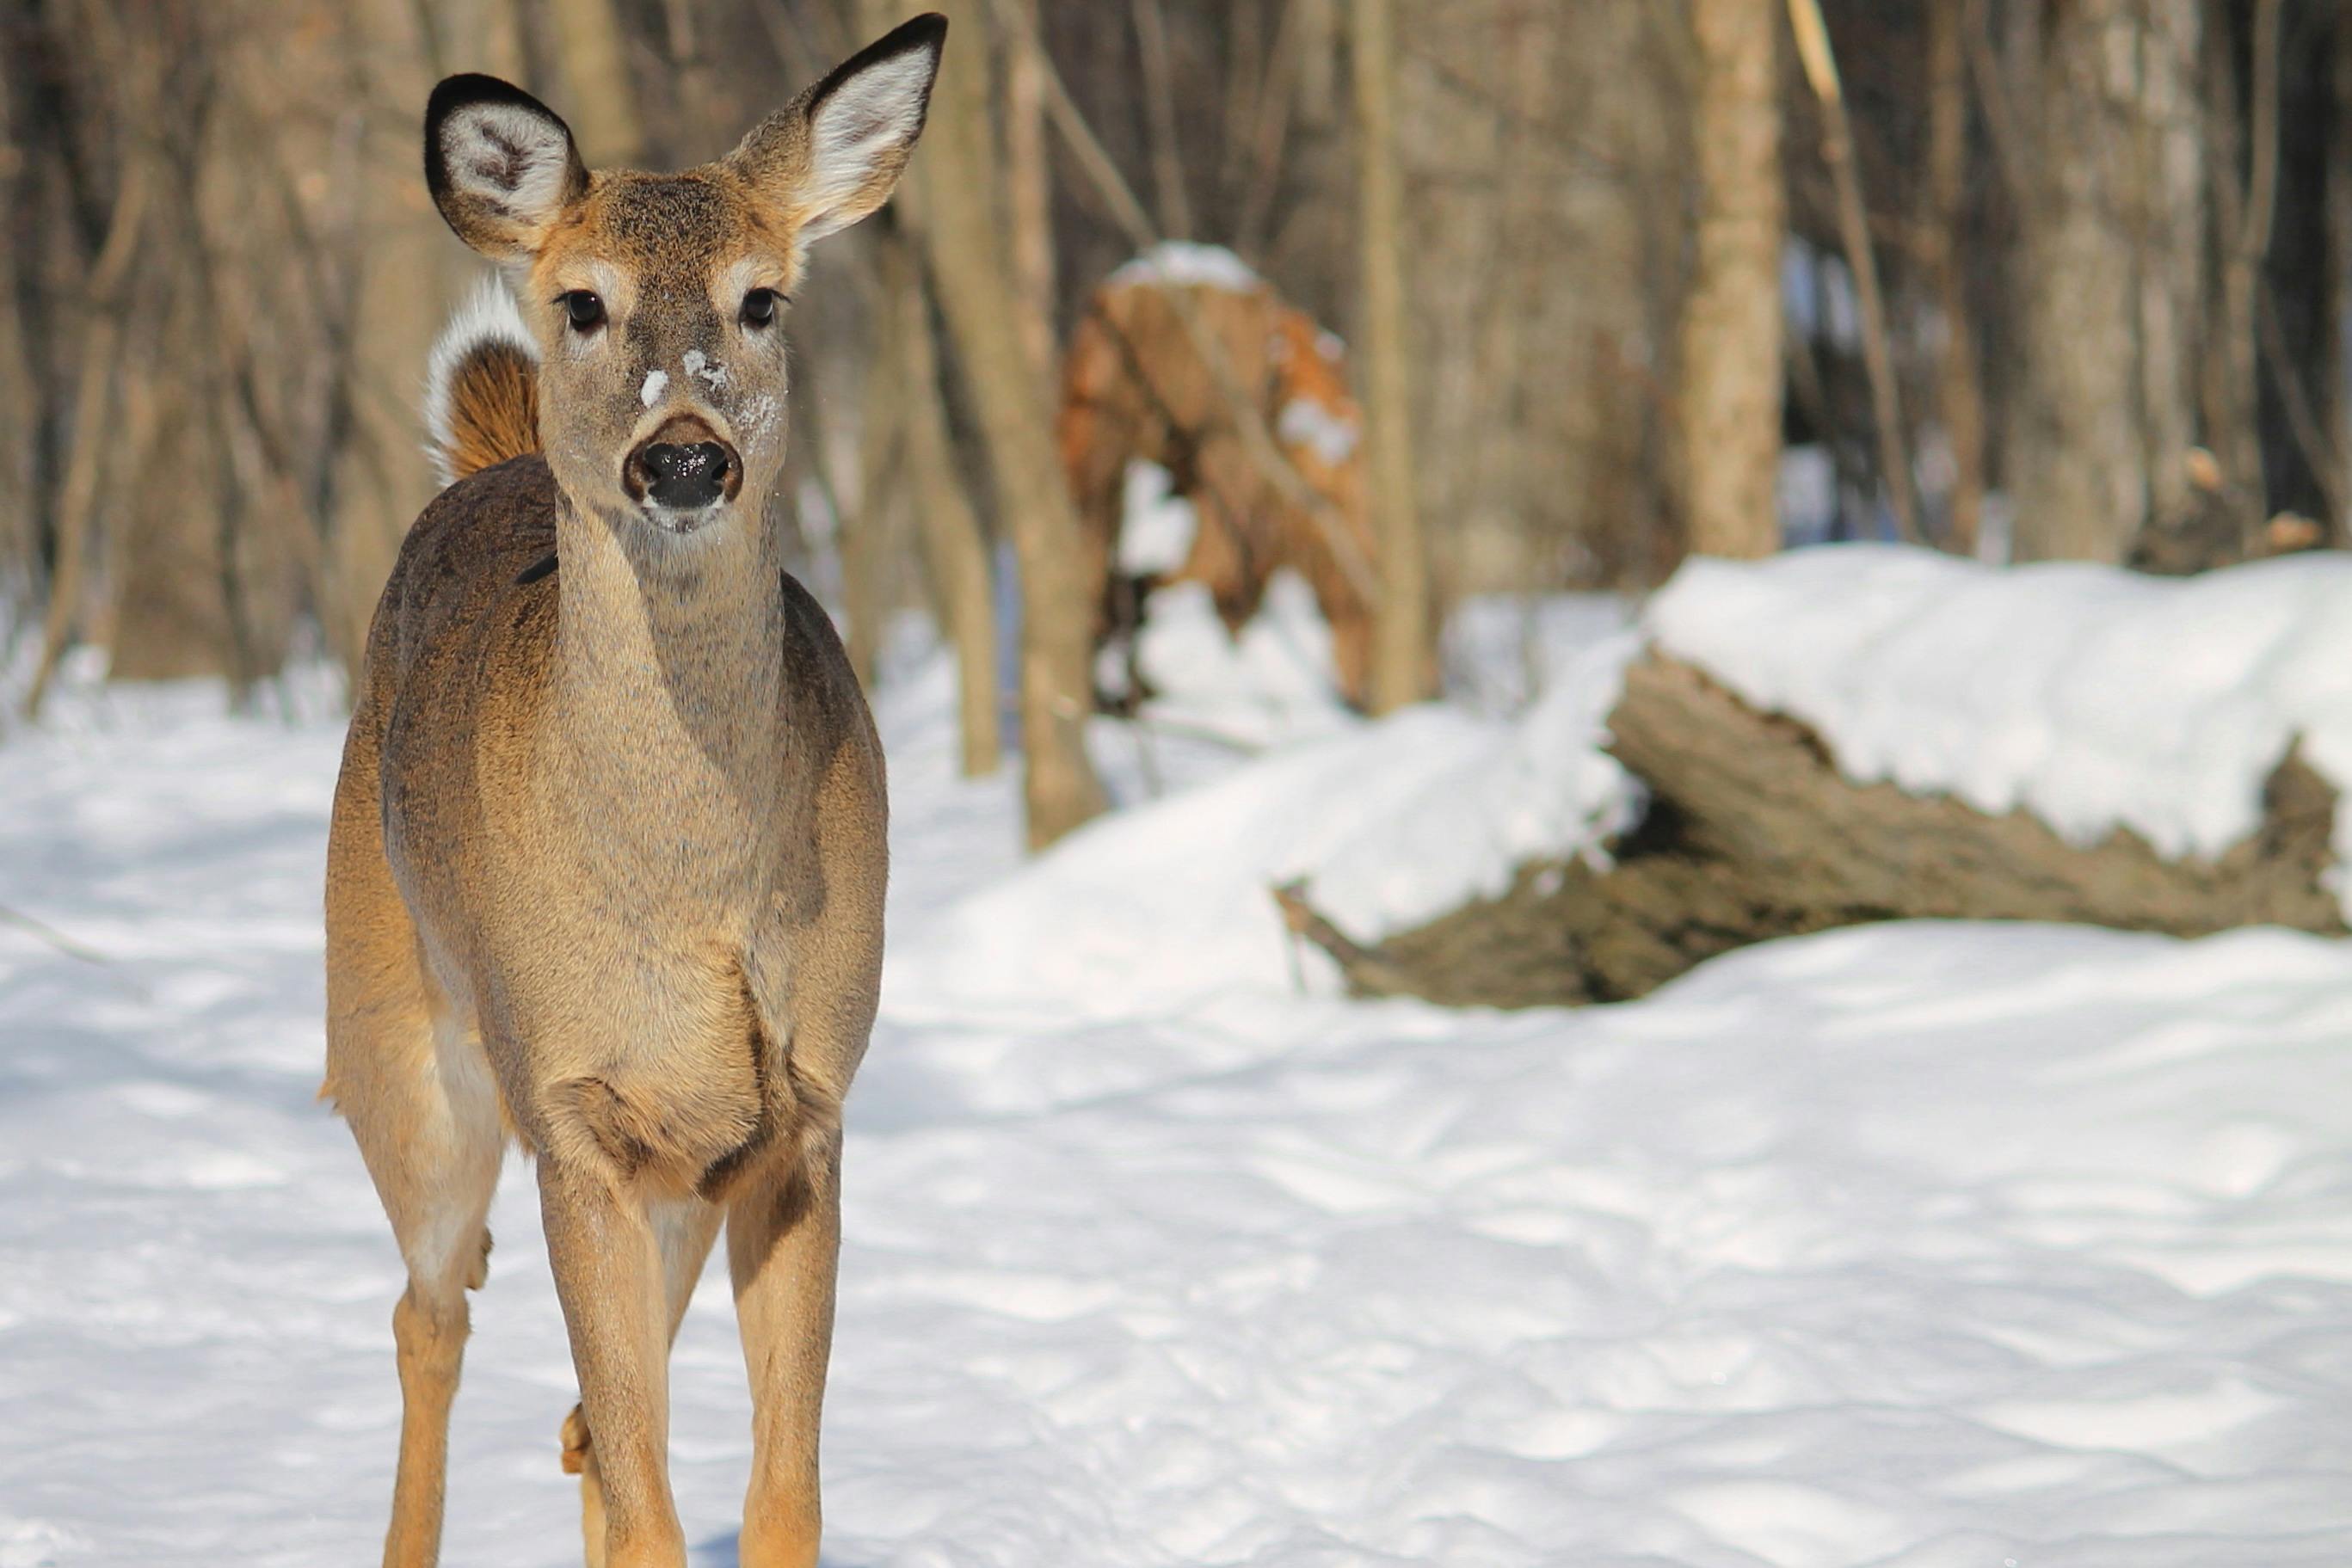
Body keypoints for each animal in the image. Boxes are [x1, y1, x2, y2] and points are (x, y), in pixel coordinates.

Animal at [319, 17, 945, 1568]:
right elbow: (653, 1491)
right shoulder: (571, 1111)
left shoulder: (795, 1112)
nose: (682, 455)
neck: (688, 890)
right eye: (583, 302)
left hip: (677, 1178)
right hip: (398, 1037)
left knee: (580, 1426)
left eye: (762, 297)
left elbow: (771, 1495)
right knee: (430, 1310)